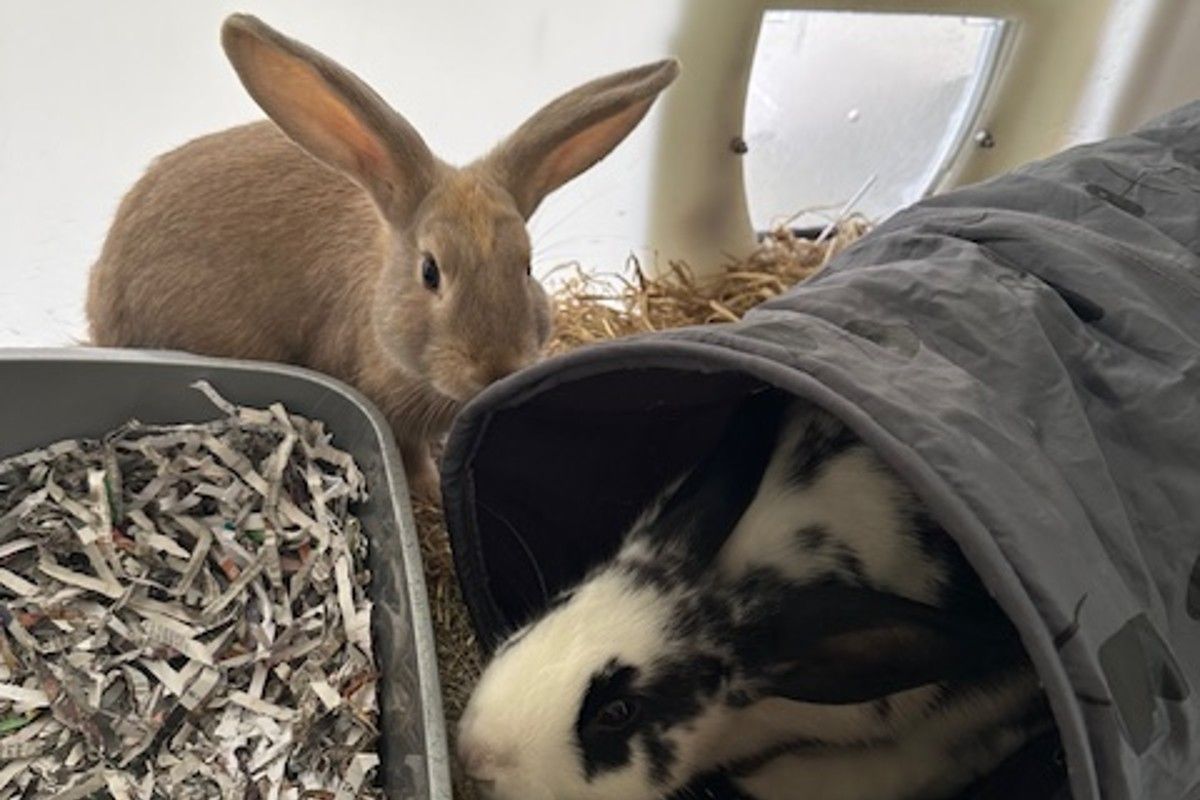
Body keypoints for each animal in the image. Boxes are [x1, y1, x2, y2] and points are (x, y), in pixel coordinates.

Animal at [86, 14, 679, 502]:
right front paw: (430, 490)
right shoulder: (389, 413)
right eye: (430, 271)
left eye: (527, 266)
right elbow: (410, 456)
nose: (495, 368)